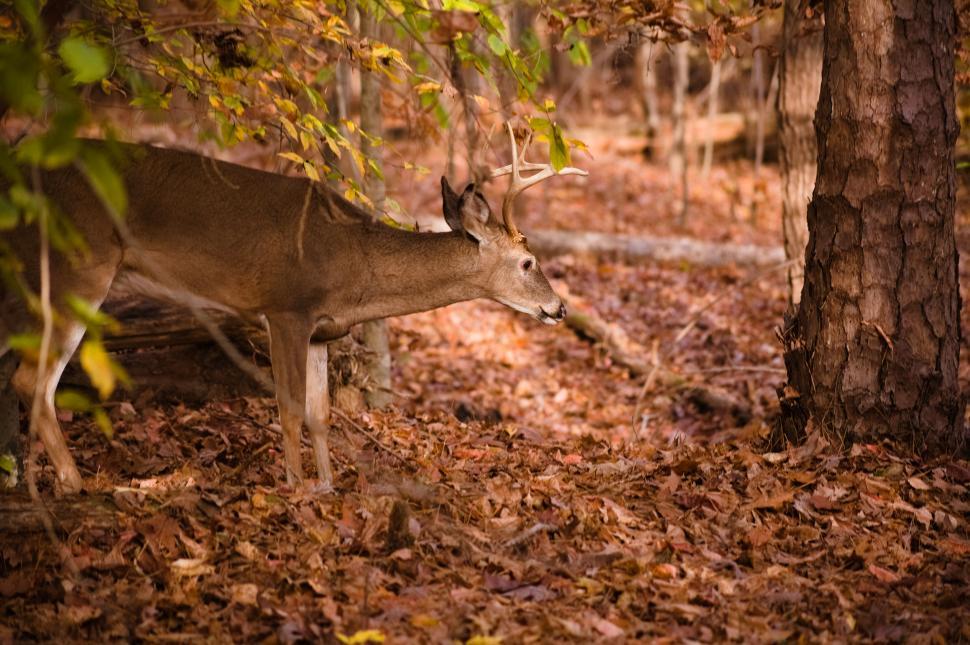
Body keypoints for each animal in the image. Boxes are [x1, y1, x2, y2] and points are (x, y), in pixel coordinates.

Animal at [0, 123, 587, 494]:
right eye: (529, 262)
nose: (559, 308)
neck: (355, 266)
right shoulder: (285, 308)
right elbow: (286, 407)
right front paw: (297, 488)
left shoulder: (323, 331)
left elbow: (320, 414)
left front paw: (327, 487)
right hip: (79, 266)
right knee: (34, 380)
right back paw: (76, 485)